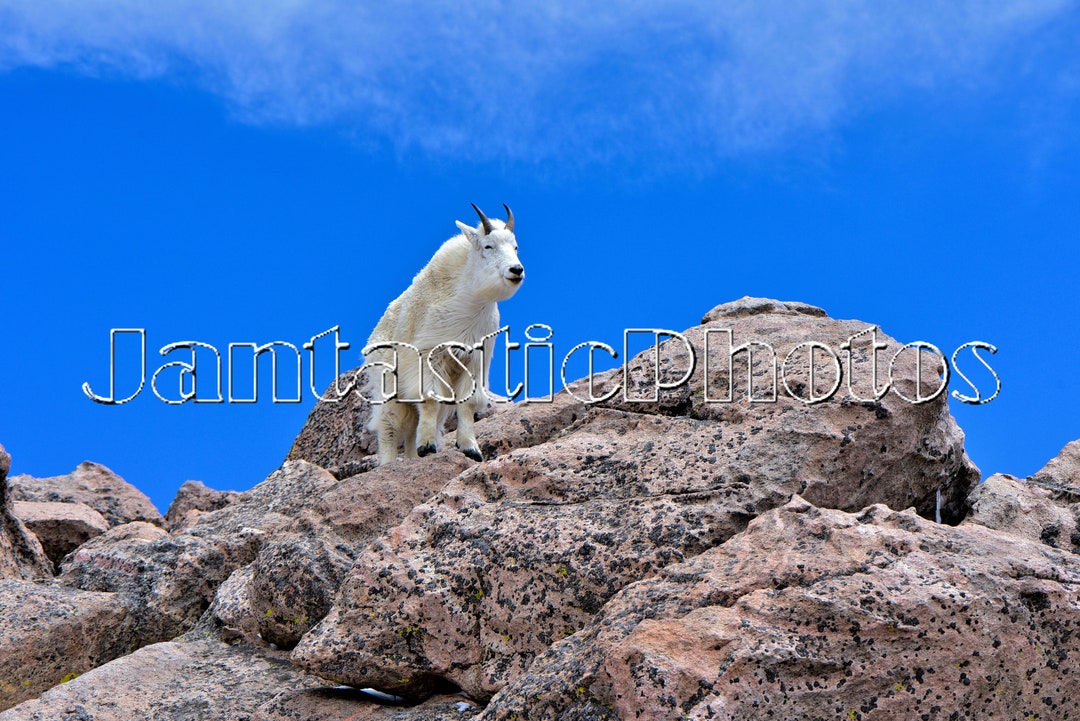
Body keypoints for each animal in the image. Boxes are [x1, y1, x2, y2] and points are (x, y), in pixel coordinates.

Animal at [364, 204, 524, 465]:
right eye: (488, 246)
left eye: (515, 247)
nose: (516, 270)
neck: (470, 302)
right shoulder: (429, 354)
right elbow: (430, 399)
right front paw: (428, 445)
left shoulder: (474, 359)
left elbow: (468, 404)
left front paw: (470, 448)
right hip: (387, 384)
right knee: (389, 425)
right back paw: (389, 463)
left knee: (411, 428)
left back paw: (414, 456)